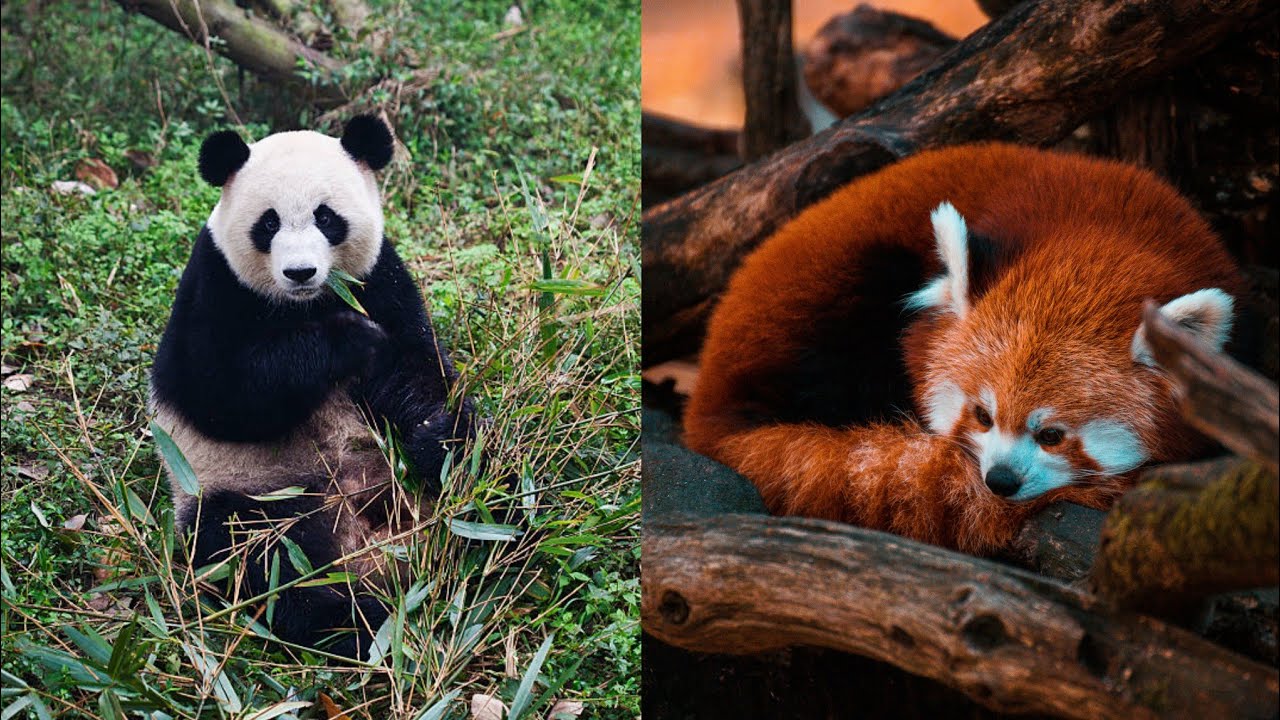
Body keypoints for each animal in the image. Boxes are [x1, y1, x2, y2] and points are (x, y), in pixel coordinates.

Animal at [150, 115, 473, 659]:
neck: (307, 305)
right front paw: (348, 340)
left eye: (326, 218)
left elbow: (415, 366)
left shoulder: (378, 277)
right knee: (264, 555)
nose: (300, 271)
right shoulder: (214, 284)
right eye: (268, 224)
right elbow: (219, 394)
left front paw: (439, 436)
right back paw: (354, 621)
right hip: (249, 487)